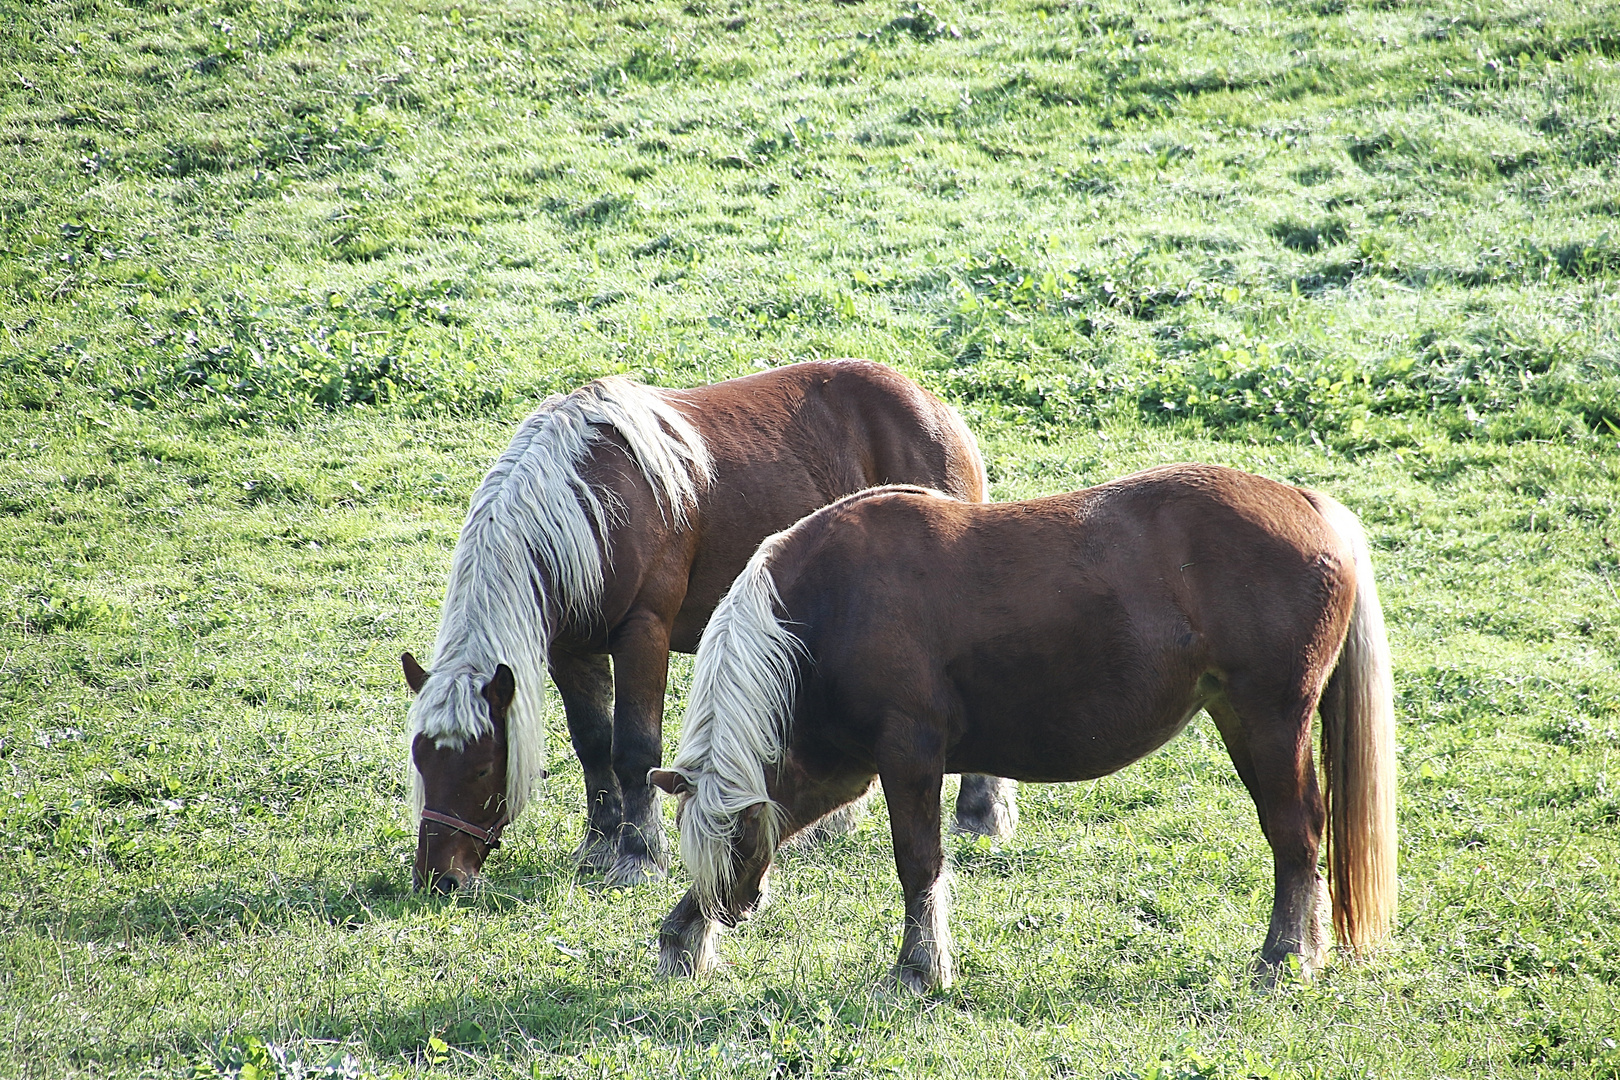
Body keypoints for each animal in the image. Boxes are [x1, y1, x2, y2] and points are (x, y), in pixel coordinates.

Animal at [401, 359, 1018, 892]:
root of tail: (935, 407)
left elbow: (634, 750)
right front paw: (599, 846)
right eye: (421, 758)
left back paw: (980, 813)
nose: (440, 877)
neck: (586, 500)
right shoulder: (571, 650)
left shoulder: (642, 633)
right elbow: (593, 746)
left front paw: (638, 855)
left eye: (483, 768)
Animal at [650, 463, 1398, 991]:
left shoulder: (908, 755)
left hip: (1268, 720)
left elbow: (918, 862)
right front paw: (682, 935)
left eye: (738, 840)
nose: (738, 908)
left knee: (1296, 836)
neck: (833, 607)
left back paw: (1284, 958)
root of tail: (1312, 506)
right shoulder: (835, 771)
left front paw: (920, 969)